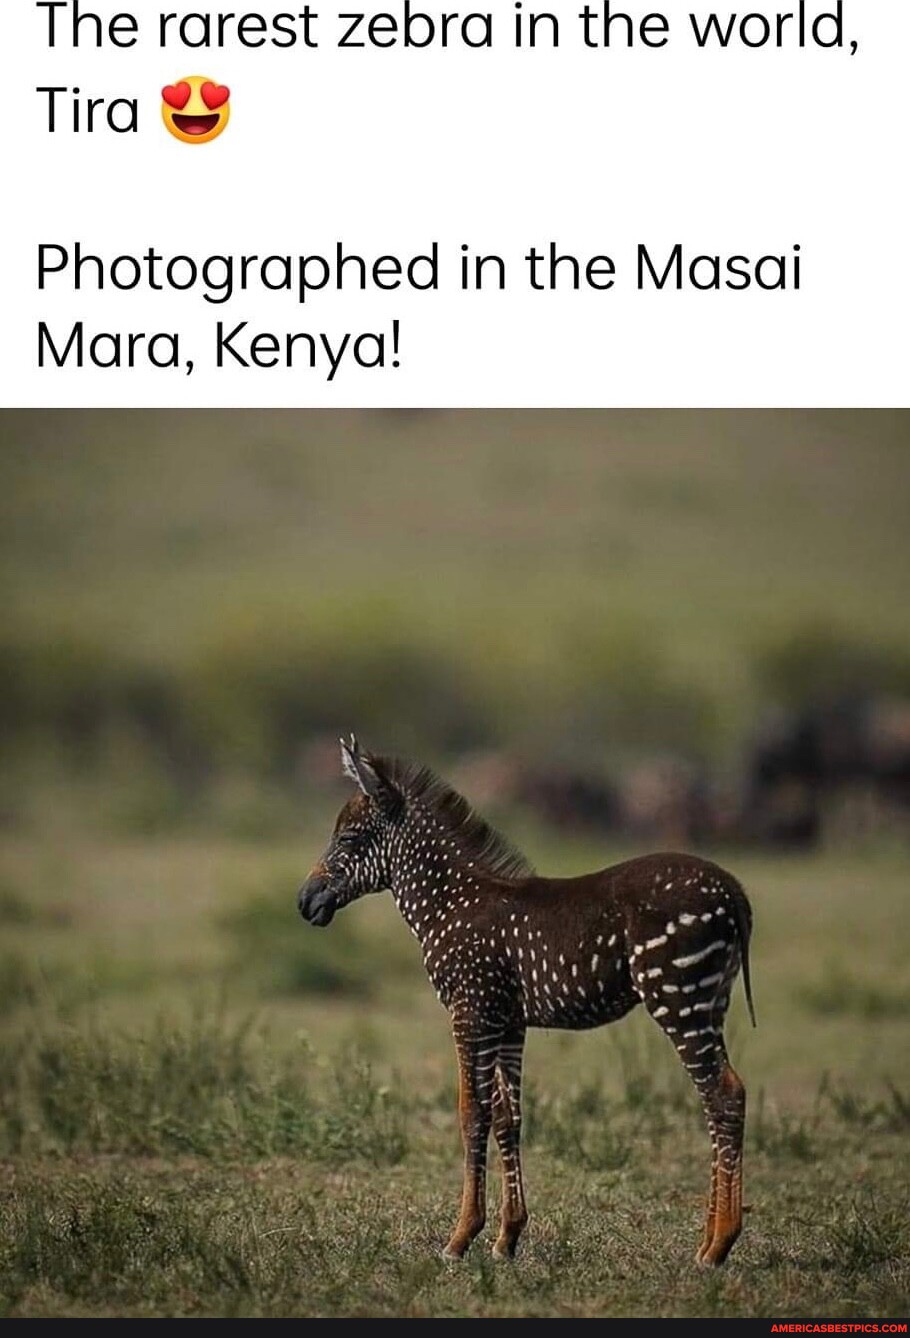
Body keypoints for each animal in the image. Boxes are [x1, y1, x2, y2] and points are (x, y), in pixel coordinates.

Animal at [298, 737, 756, 1266]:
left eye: (349, 839)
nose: (304, 902)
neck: (449, 902)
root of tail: (734, 890)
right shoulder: (508, 1020)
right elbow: (507, 1117)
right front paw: (507, 1237)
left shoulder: (470, 1011)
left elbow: (470, 1113)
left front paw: (461, 1237)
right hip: (709, 1003)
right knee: (720, 1098)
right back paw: (708, 1240)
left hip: (678, 1000)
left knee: (723, 1094)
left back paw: (719, 1246)